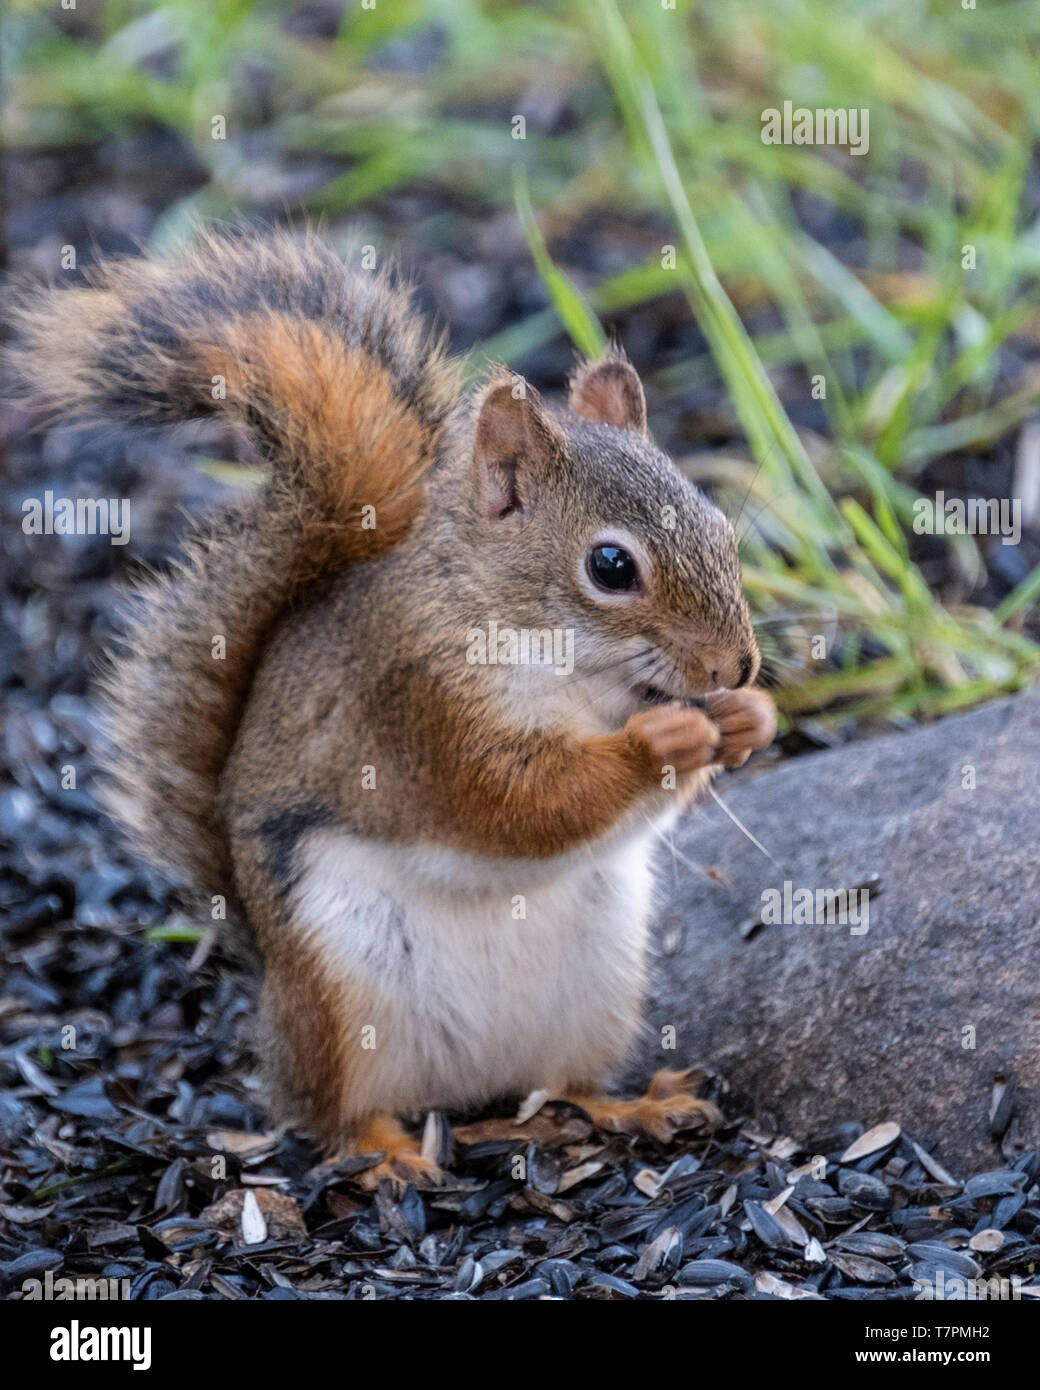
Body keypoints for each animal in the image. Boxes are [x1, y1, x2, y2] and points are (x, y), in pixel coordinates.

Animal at [12, 228, 776, 1188]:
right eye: (611, 567)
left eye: (722, 529)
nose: (736, 663)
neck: (572, 673)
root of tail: (466, 1093)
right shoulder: (419, 703)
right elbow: (518, 802)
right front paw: (662, 740)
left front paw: (747, 720)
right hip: (344, 990)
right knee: (331, 1113)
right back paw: (388, 1156)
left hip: (600, 986)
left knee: (559, 1084)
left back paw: (628, 1105)